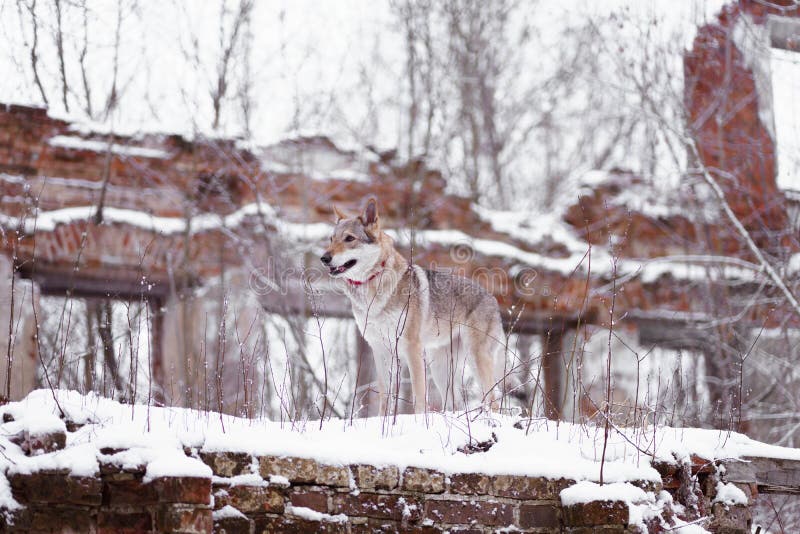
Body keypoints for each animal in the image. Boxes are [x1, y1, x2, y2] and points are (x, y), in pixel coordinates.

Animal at [320, 197, 505, 414]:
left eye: (349, 238)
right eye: (331, 239)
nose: (324, 258)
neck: (372, 287)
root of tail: (492, 298)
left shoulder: (412, 347)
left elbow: (418, 395)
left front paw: (418, 420)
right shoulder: (379, 349)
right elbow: (385, 397)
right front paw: (382, 421)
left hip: (475, 360)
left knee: (493, 401)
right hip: (442, 369)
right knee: (457, 403)